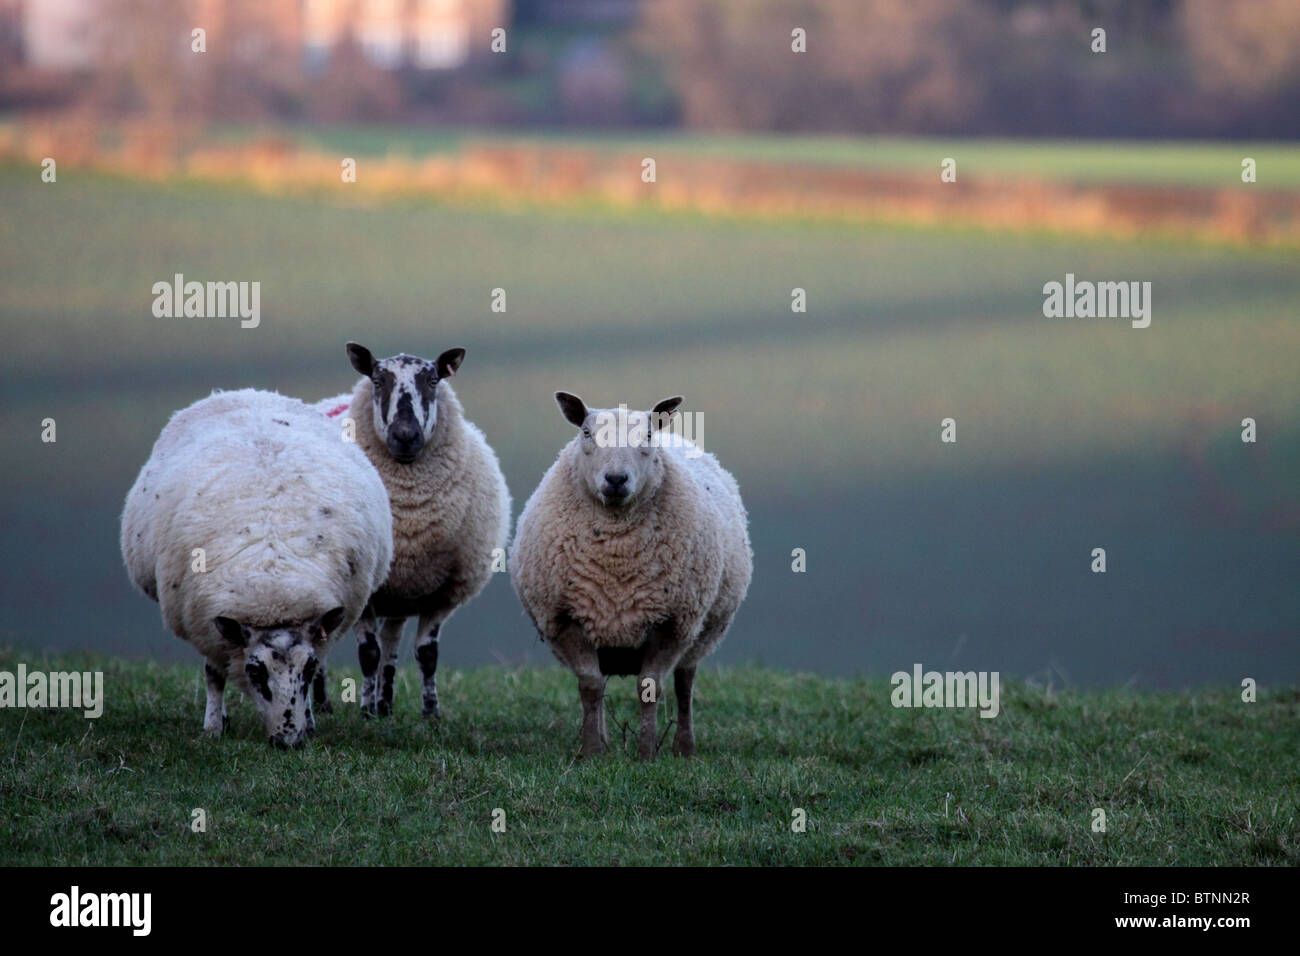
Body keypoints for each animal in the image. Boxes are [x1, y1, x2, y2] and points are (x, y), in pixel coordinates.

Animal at [120, 389, 393, 747]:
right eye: (255, 671)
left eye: (307, 669)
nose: (288, 742)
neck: (273, 589)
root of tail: (249, 392)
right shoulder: (209, 627)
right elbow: (214, 675)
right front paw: (213, 727)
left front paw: (308, 721)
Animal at [318, 343, 511, 718]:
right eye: (378, 380)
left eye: (433, 380)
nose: (405, 436)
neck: (410, 513)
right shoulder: (365, 589)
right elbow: (368, 654)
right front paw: (366, 713)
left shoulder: (442, 591)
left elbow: (426, 655)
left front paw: (431, 713)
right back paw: (326, 705)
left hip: (401, 593)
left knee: (391, 643)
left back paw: (386, 705)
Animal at [509, 392, 752, 760]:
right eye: (586, 433)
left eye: (648, 436)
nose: (615, 479)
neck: (616, 550)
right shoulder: (566, 619)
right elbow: (590, 686)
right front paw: (592, 750)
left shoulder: (671, 624)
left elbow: (649, 687)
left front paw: (647, 752)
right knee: (603, 684)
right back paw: (606, 738)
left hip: (700, 631)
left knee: (685, 683)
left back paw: (685, 747)